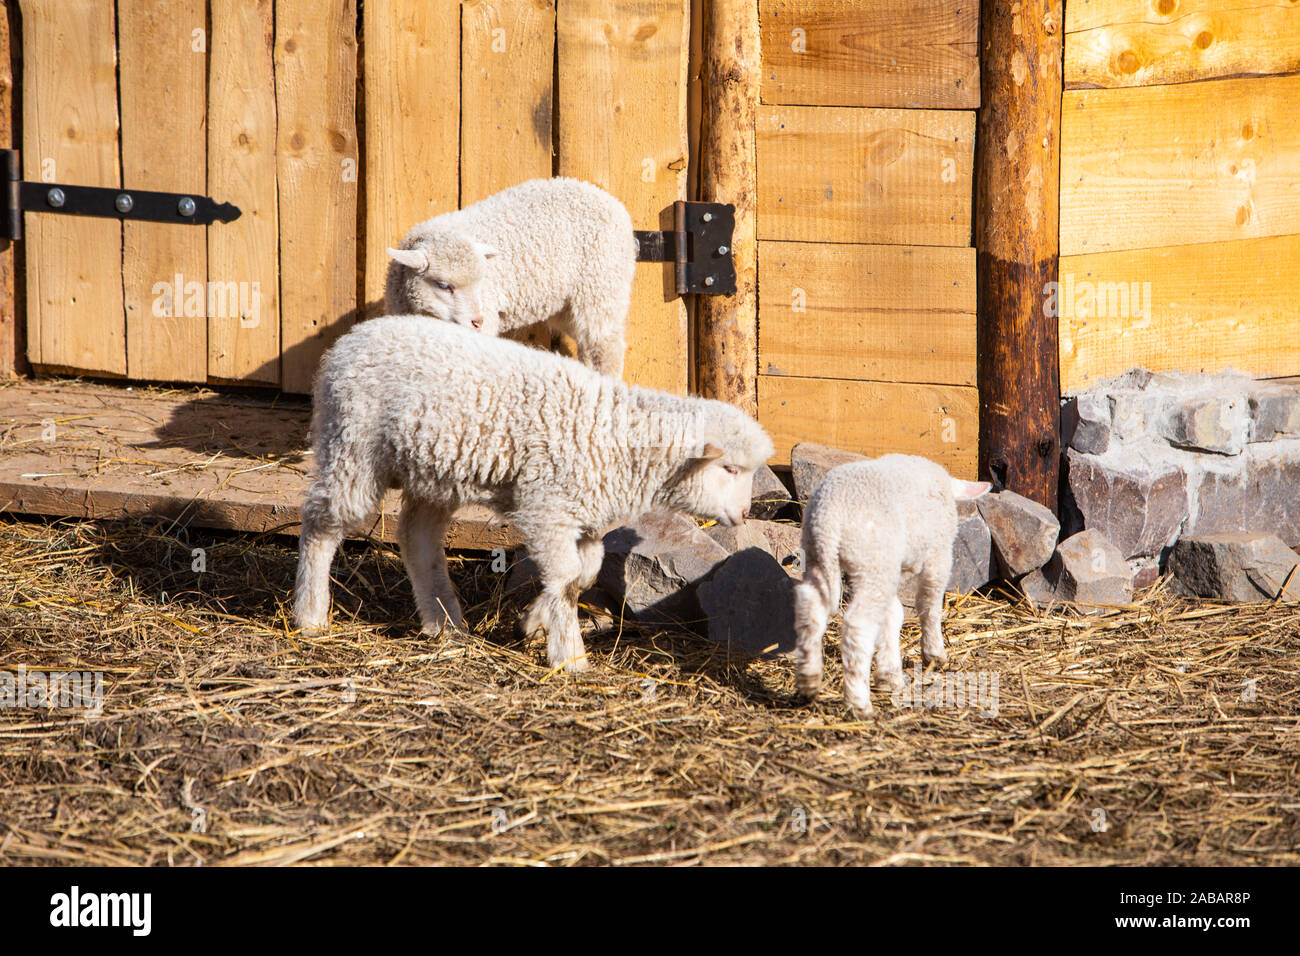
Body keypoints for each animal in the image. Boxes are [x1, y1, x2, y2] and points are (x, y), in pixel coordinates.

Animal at [294, 314, 774, 673]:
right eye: (730, 469)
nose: (745, 513)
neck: (621, 439)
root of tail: (348, 341)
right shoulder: (548, 508)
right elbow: (564, 579)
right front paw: (569, 656)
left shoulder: (583, 518)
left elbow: (582, 576)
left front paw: (531, 624)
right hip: (351, 447)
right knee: (321, 523)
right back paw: (310, 614)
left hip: (433, 473)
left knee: (417, 537)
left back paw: (444, 621)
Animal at [385, 177, 637, 378]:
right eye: (444, 285)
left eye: (480, 282)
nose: (477, 321)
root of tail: (612, 202)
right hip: (569, 306)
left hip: (602, 286)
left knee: (606, 346)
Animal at [793, 455, 990, 718]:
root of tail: (829, 519)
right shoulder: (937, 553)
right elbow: (929, 604)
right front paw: (934, 653)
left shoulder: (891, 569)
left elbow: (893, 615)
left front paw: (890, 675)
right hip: (874, 558)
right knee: (858, 625)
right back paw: (859, 702)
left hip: (821, 555)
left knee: (811, 609)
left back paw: (809, 680)